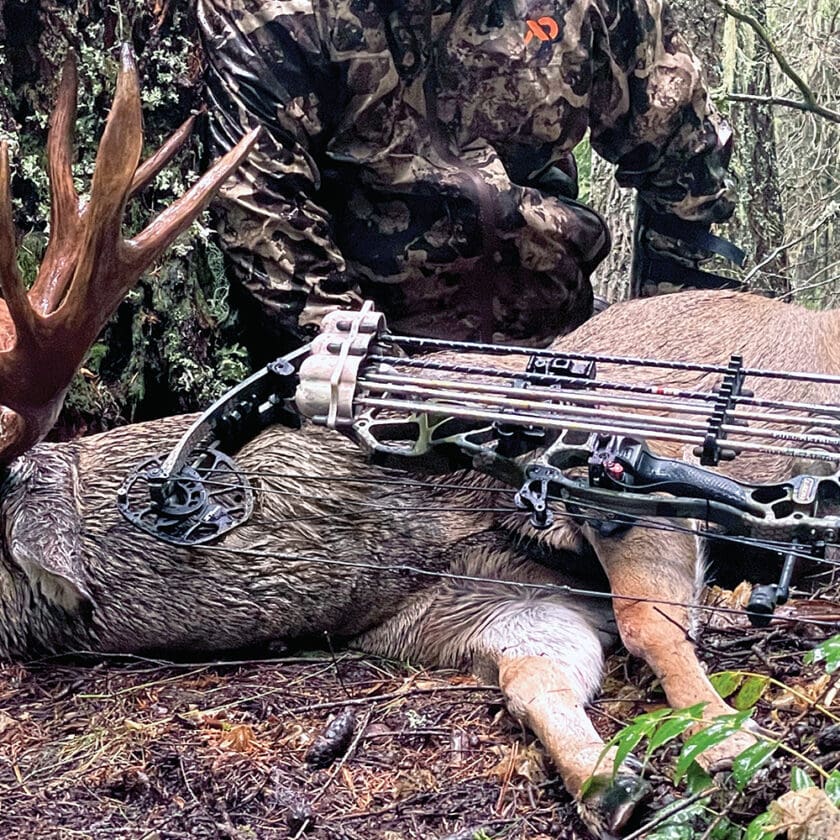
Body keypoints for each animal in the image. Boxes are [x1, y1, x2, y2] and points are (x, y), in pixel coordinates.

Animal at [1, 46, 837, 840]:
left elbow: (646, 621)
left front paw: (731, 745)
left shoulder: (619, 467)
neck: (381, 541)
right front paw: (613, 785)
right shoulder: (478, 616)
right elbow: (536, 678)